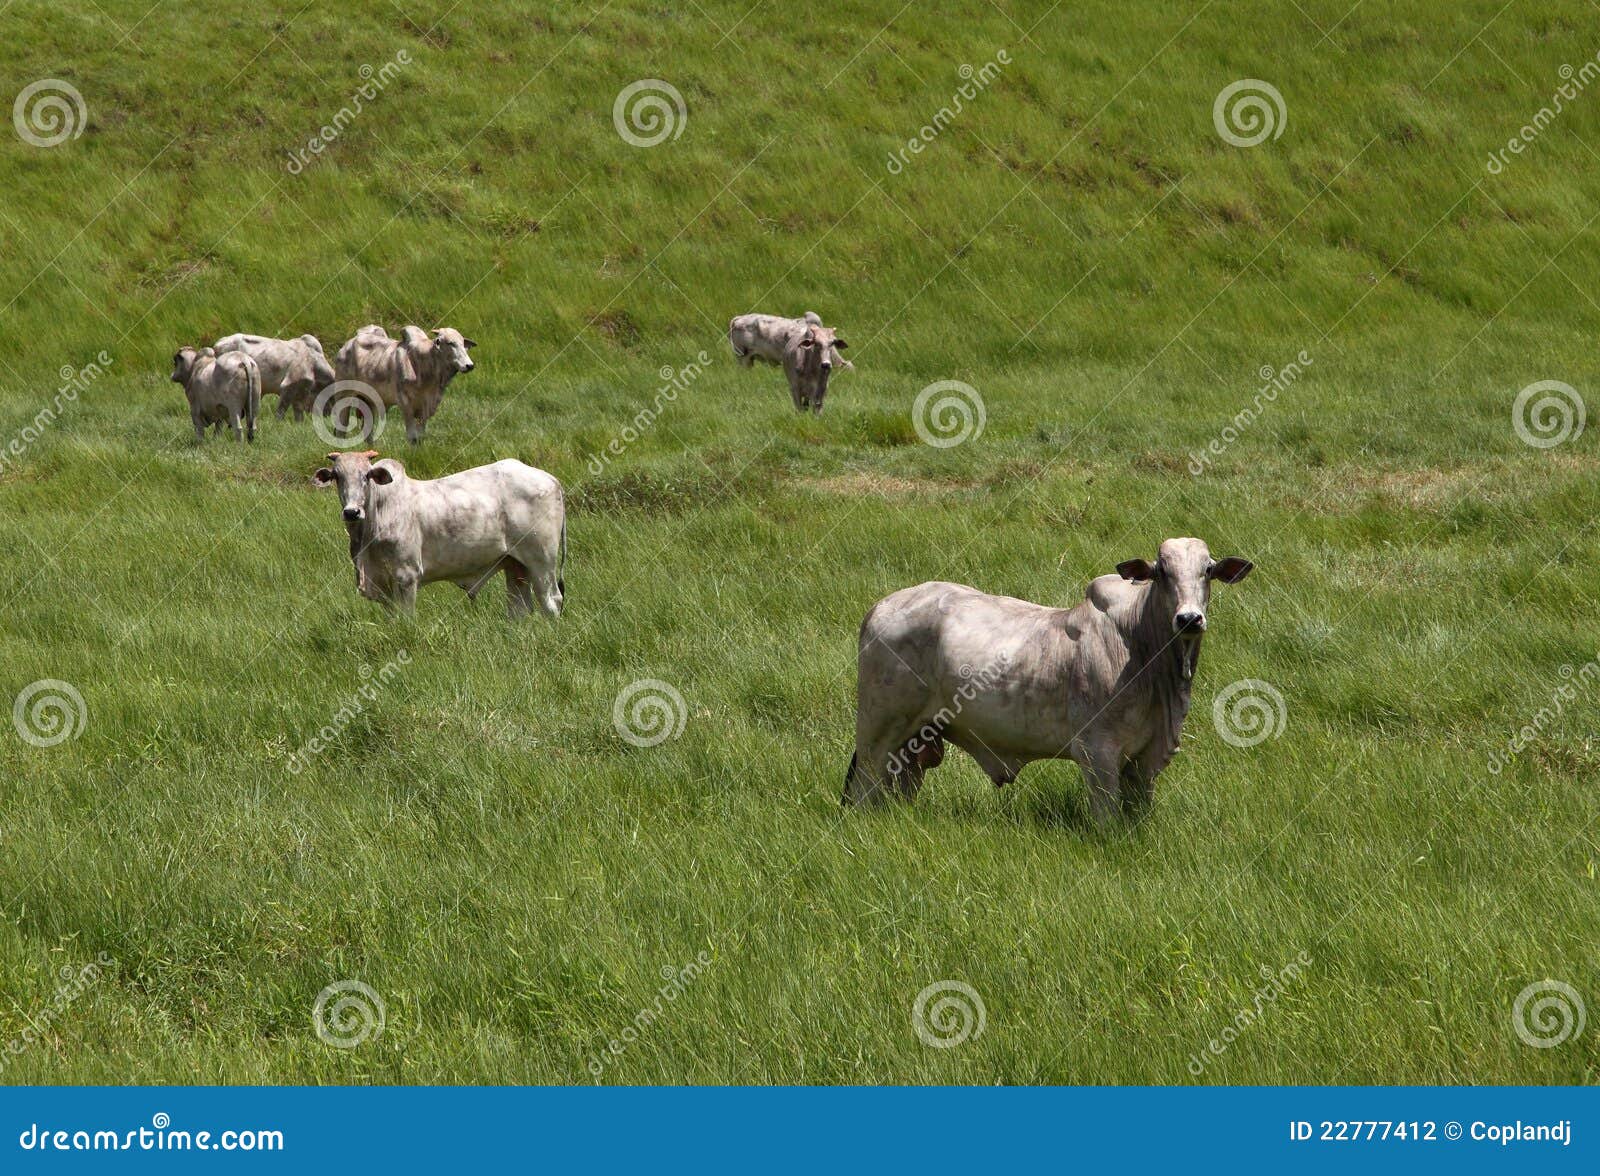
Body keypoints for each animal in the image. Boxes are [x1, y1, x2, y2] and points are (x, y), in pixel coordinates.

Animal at [313, 452, 565, 618]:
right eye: (336, 476)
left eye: (366, 475)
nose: (351, 512)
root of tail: (551, 479)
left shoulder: (407, 576)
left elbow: (405, 619)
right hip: (515, 565)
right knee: (519, 607)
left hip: (542, 561)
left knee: (551, 601)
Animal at [332, 324, 475, 443]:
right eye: (451, 343)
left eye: (463, 344)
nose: (469, 365)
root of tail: (347, 345)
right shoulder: (406, 404)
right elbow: (413, 437)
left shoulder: (426, 408)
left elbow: (420, 435)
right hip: (343, 394)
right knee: (341, 426)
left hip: (369, 400)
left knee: (368, 430)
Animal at [842, 538, 1254, 824]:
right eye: (1162, 571)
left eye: (1207, 570)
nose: (1189, 618)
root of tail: (879, 608)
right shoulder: (1098, 754)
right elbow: (1107, 820)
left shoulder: (1146, 760)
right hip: (877, 733)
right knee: (864, 786)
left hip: (914, 742)